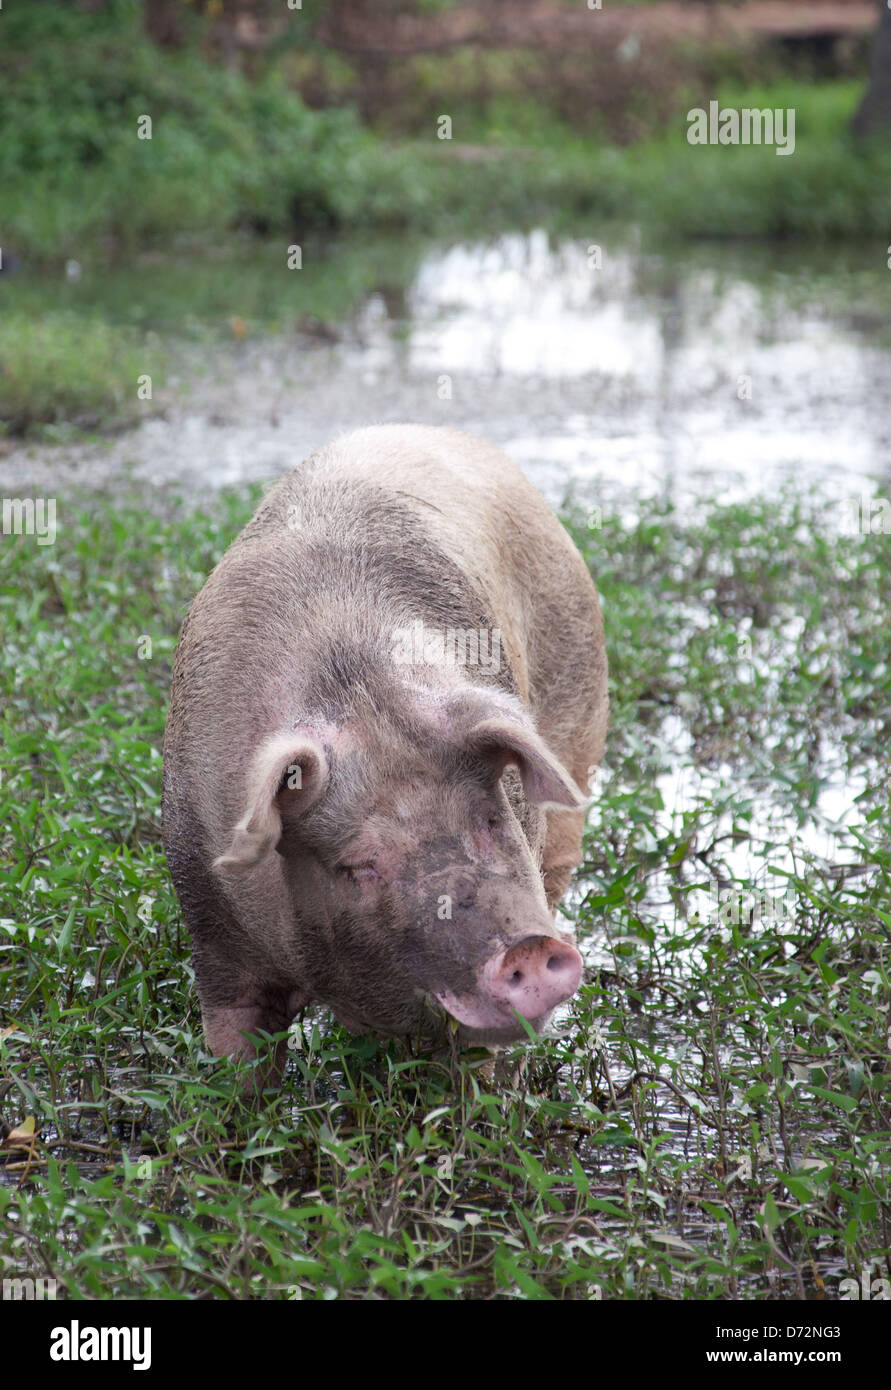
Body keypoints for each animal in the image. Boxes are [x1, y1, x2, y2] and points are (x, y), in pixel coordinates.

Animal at [162, 424, 608, 1084]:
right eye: (359, 864)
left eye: (491, 818)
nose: (527, 949)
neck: (359, 697)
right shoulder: (212, 931)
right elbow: (239, 1059)